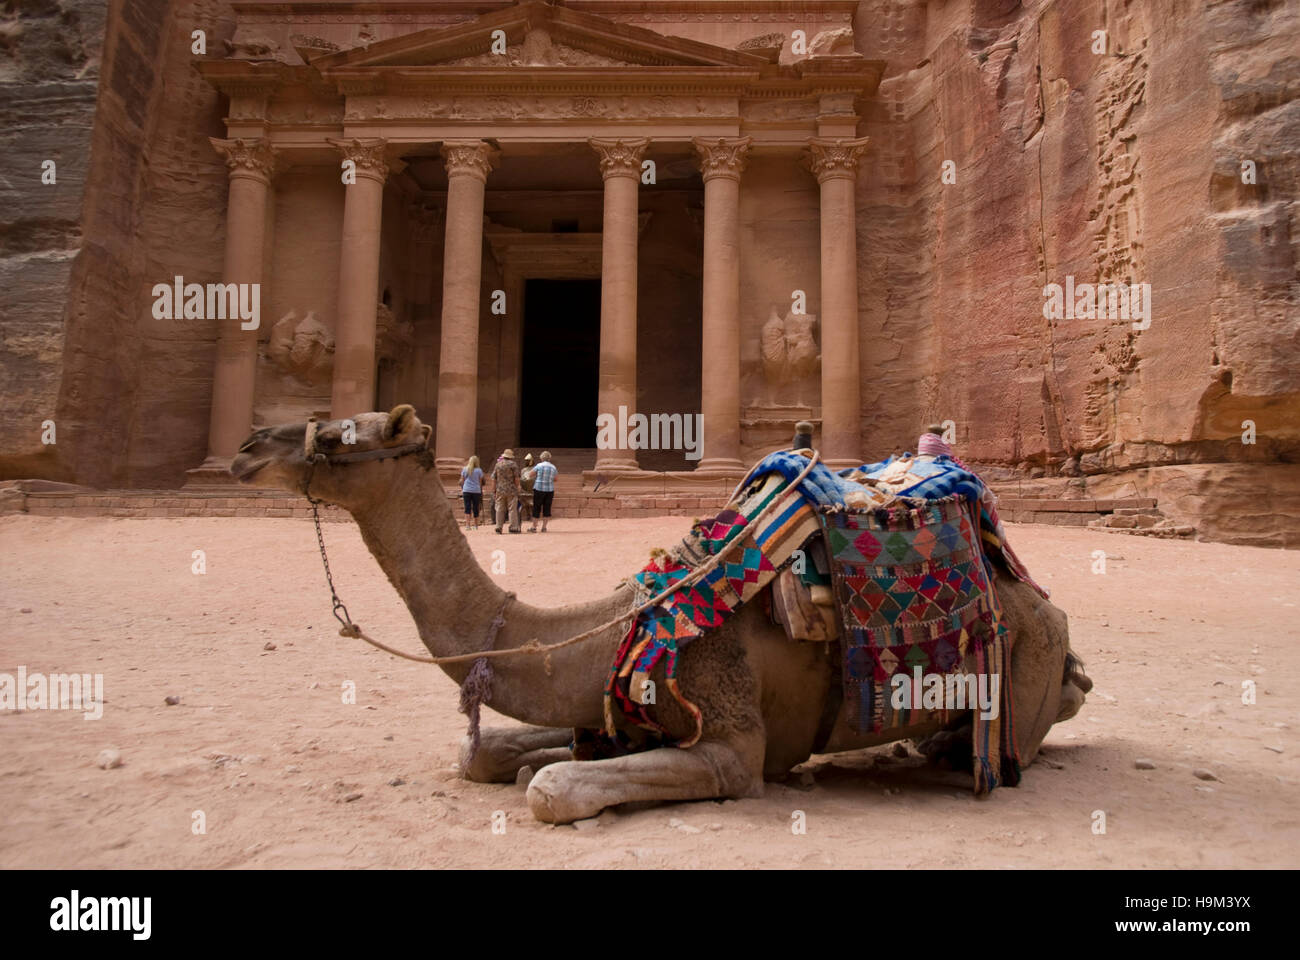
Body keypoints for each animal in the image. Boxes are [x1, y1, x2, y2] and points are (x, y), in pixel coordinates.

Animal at [231, 405, 1091, 824]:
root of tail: (1053, 616)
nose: (245, 446)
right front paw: (529, 756)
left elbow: (552, 790)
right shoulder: (609, 707)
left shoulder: (736, 747)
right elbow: (493, 755)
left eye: (343, 433)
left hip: (1023, 678)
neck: (627, 624)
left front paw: (551, 776)